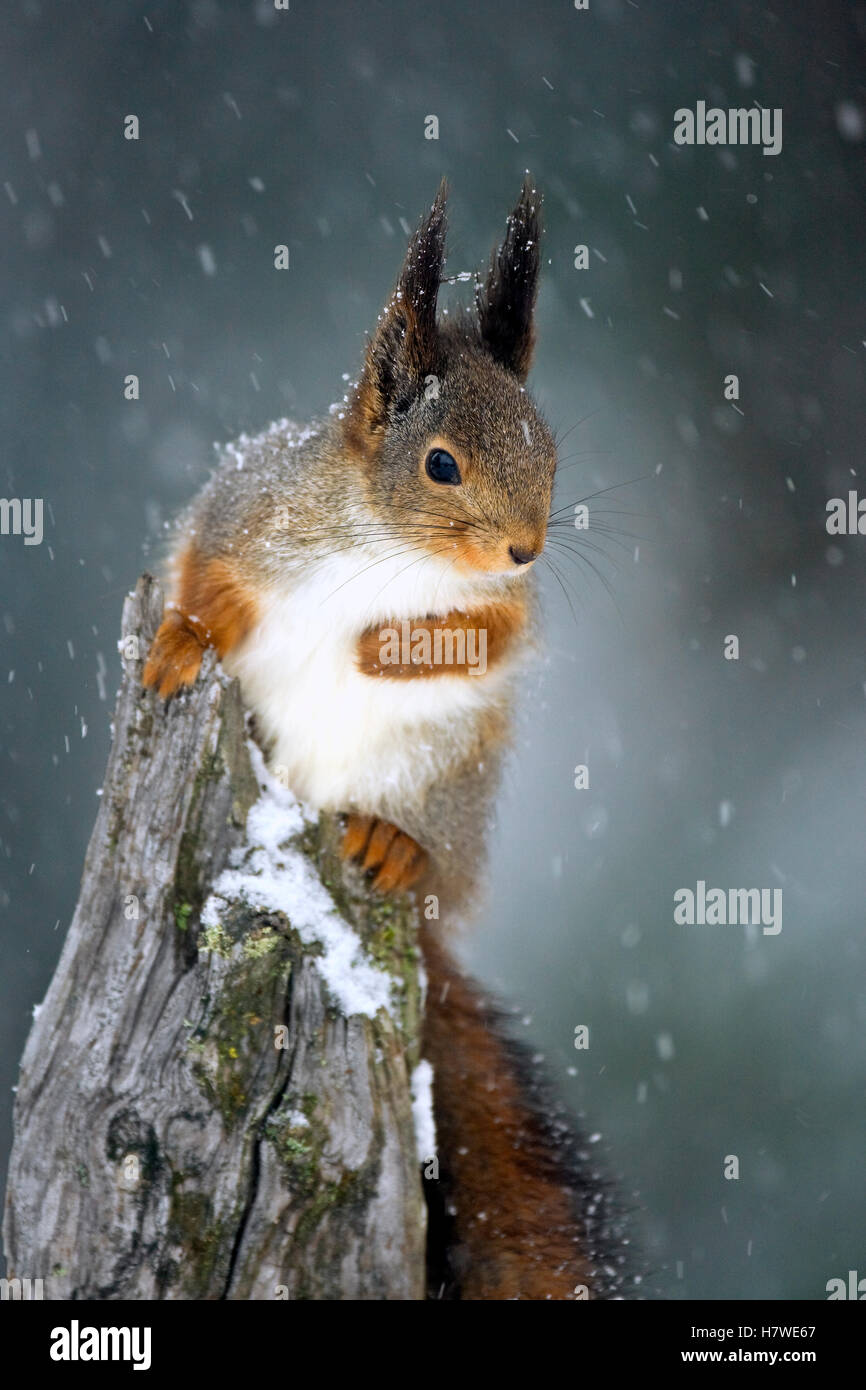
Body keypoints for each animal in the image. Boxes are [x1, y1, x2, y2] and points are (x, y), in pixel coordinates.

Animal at [143, 177, 627, 1300]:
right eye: (439, 463)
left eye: (545, 449)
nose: (525, 546)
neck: (389, 547)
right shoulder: (245, 516)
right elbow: (206, 581)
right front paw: (181, 640)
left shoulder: (503, 612)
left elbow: (477, 641)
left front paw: (381, 647)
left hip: (447, 782)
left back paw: (395, 843)